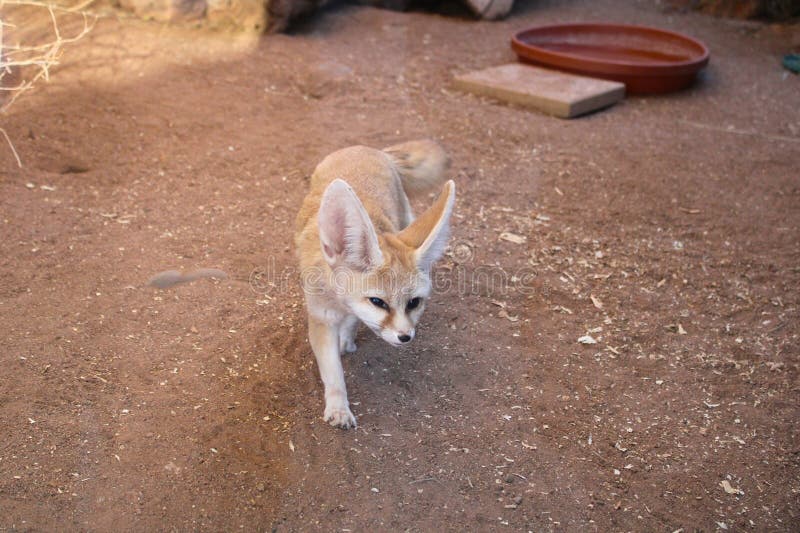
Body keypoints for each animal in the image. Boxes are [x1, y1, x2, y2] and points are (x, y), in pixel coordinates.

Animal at [294, 139, 455, 429]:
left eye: (414, 303)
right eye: (378, 302)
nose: (406, 337)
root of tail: (366, 149)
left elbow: (352, 321)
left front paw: (347, 339)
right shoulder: (321, 317)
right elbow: (333, 372)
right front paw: (339, 407)